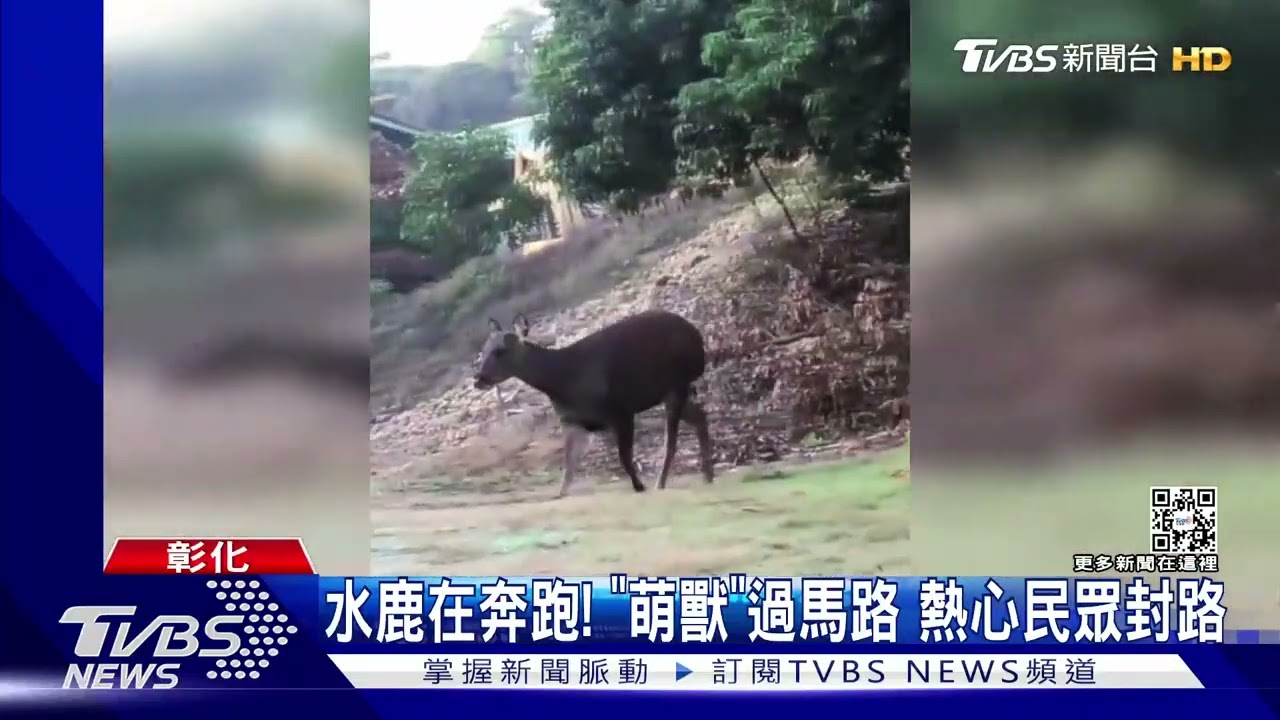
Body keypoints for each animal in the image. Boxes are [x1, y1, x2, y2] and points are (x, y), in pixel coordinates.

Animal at [473, 310, 715, 498]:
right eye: (483, 350)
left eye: (501, 351)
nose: (479, 378)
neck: (563, 381)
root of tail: (696, 335)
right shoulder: (573, 422)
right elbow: (568, 468)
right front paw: (560, 494)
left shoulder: (620, 410)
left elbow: (624, 457)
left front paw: (639, 487)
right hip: (670, 391)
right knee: (700, 416)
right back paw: (707, 475)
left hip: (676, 383)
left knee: (671, 439)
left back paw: (662, 483)